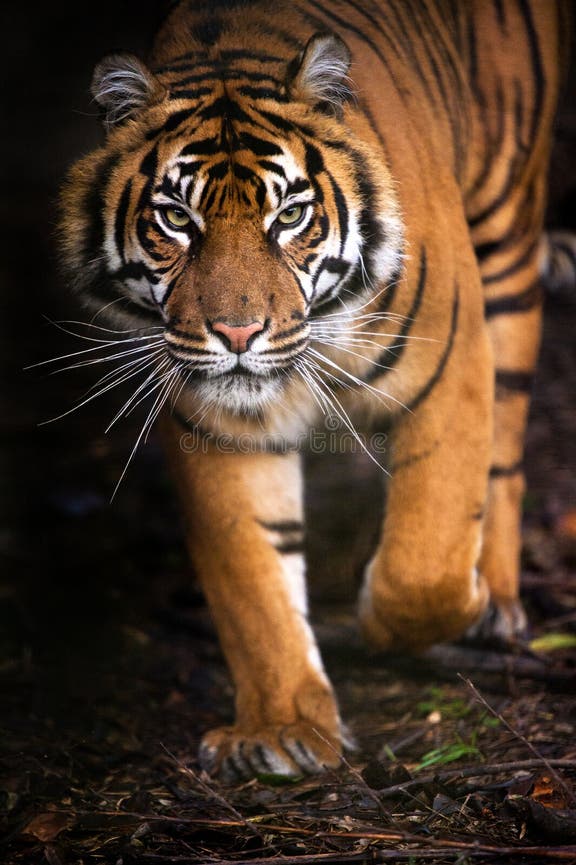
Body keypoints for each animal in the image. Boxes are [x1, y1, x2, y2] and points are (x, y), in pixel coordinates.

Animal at [59, 0, 573, 781]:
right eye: (177, 219)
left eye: (290, 215)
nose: (238, 333)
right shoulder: (218, 425)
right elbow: (254, 580)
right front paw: (282, 729)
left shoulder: (452, 365)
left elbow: (425, 562)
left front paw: (420, 615)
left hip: (506, 238)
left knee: (506, 455)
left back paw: (499, 602)